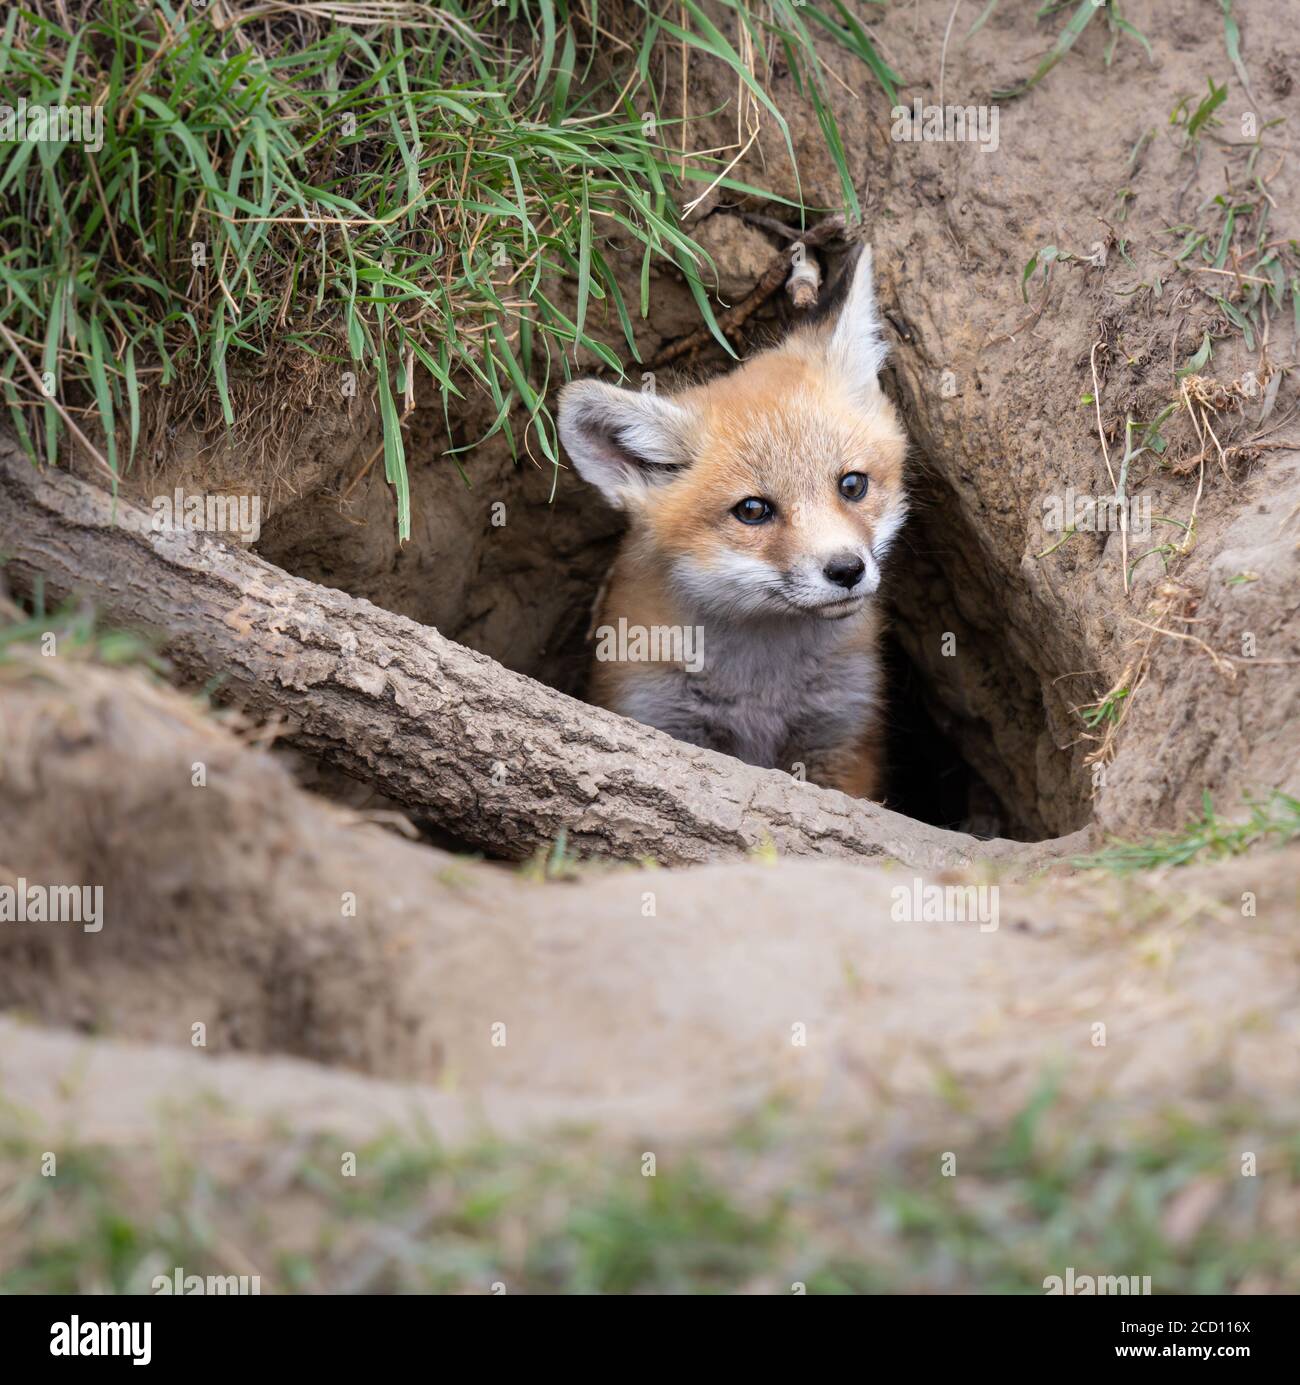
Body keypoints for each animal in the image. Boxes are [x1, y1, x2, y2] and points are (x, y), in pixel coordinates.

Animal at [556, 244, 906, 800]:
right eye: (753, 510)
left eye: (853, 485)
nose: (847, 570)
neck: (762, 689)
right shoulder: (657, 713)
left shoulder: (840, 735)